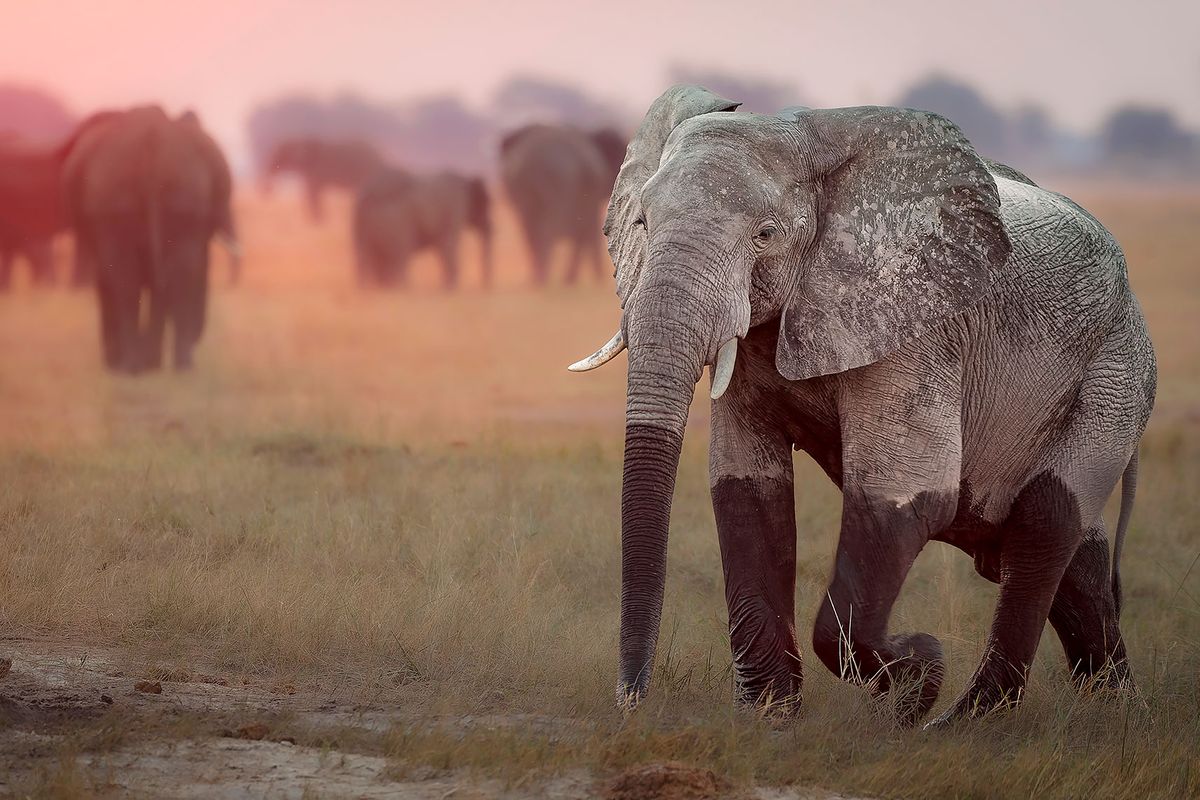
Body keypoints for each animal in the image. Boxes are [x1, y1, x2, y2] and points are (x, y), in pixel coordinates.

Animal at [63, 106, 239, 372]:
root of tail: (152, 139)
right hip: (170, 193)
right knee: (166, 275)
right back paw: (164, 366)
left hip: (127, 197)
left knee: (130, 277)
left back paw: (138, 366)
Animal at [353, 168, 492, 290]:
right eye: (486, 204)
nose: (485, 289)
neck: (466, 181)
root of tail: (368, 194)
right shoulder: (455, 209)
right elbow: (447, 245)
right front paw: (451, 290)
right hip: (396, 222)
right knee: (400, 255)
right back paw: (403, 290)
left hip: (361, 223)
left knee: (365, 257)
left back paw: (369, 291)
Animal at [499, 124, 626, 286]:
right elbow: (587, 228)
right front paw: (579, 280)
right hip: (557, 181)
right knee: (545, 228)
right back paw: (543, 279)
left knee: (530, 227)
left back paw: (537, 279)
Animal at [569, 86, 1157, 727]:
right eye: (641, 223)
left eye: (766, 234)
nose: (632, 702)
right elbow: (746, 490)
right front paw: (769, 719)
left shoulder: (917, 330)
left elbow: (905, 497)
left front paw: (919, 674)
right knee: (1071, 556)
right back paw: (1115, 709)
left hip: (1116, 371)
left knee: (1046, 518)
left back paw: (966, 722)